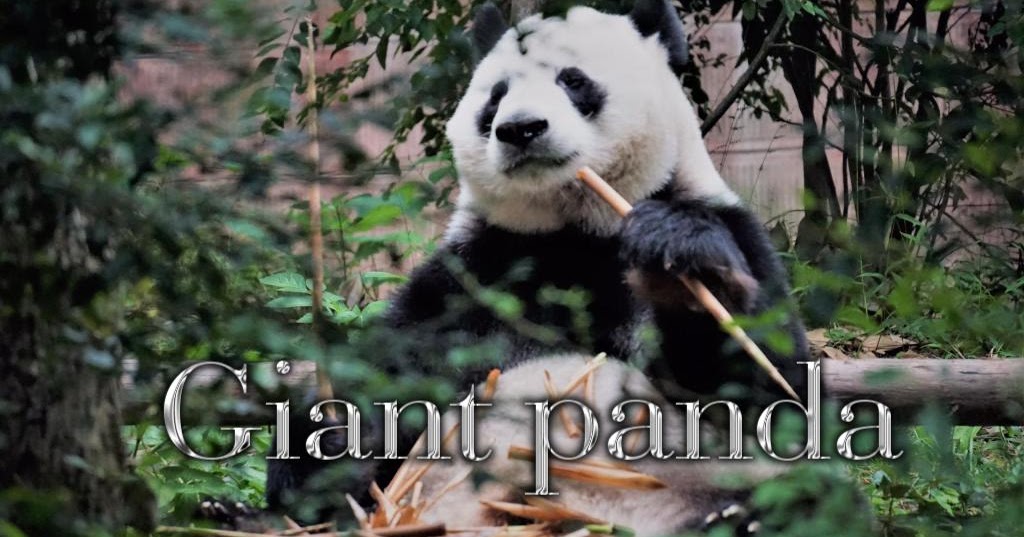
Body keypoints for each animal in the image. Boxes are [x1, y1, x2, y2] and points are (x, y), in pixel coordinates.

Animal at [265, 0, 816, 534]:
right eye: (496, 96)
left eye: (572, 80)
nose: (520, 129)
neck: (573, 233)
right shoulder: (473, 275)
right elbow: (392, 370)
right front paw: (329, 443)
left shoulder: (733, 231)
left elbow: (771, 398)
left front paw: (681, 262)